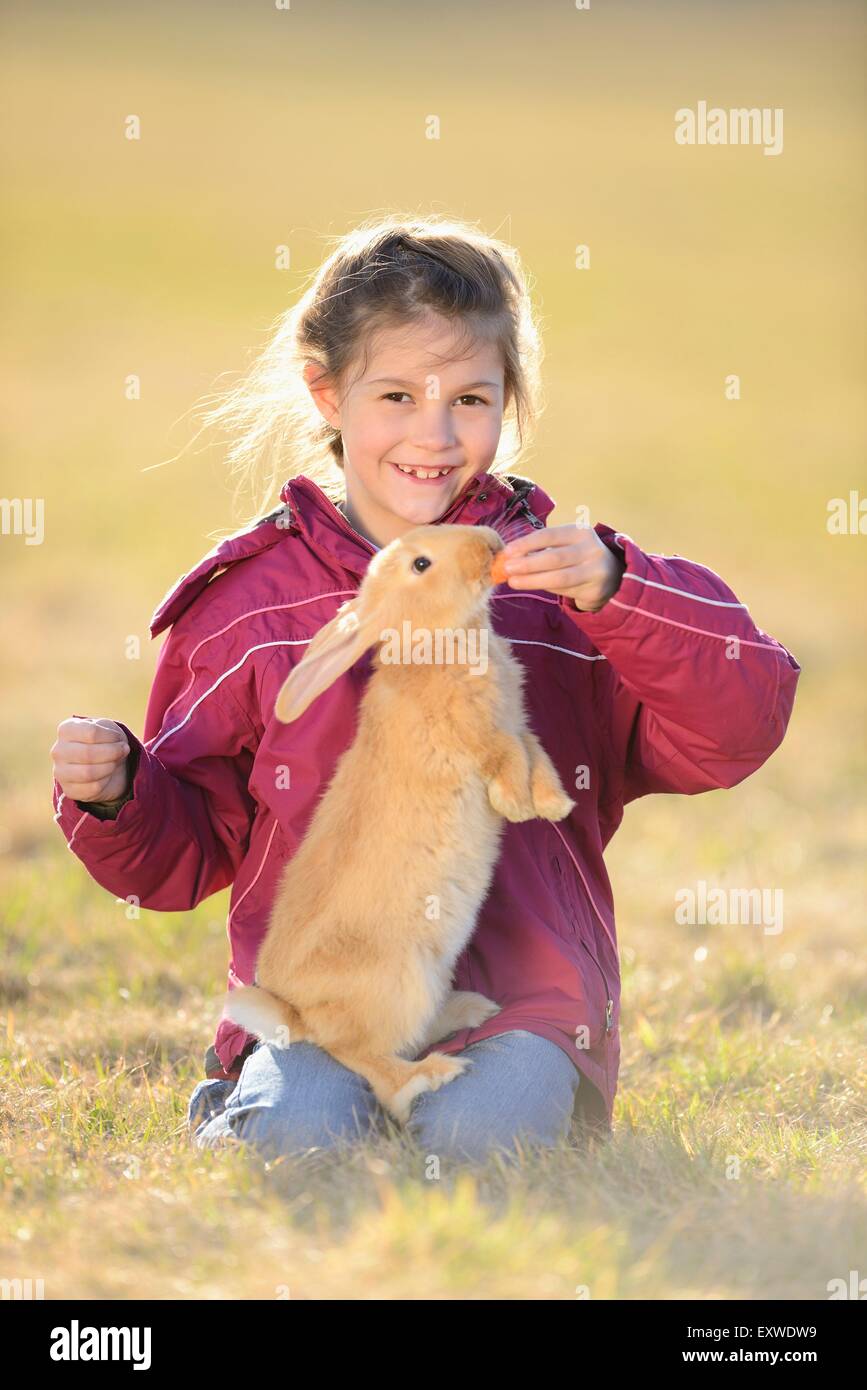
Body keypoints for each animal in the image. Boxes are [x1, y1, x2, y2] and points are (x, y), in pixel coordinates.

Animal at [223, 522, 576, 1123]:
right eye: (421, 564)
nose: (489, 544)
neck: (435, 640)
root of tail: (300, 1017)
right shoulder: (479, 738)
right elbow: (508, 757)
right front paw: (515, 804)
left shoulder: (519, 725)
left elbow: (538, 753)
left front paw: (554, 806)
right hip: (402, 983)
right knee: (369, 1062)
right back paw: (433, 1075)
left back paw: (472, 1010)